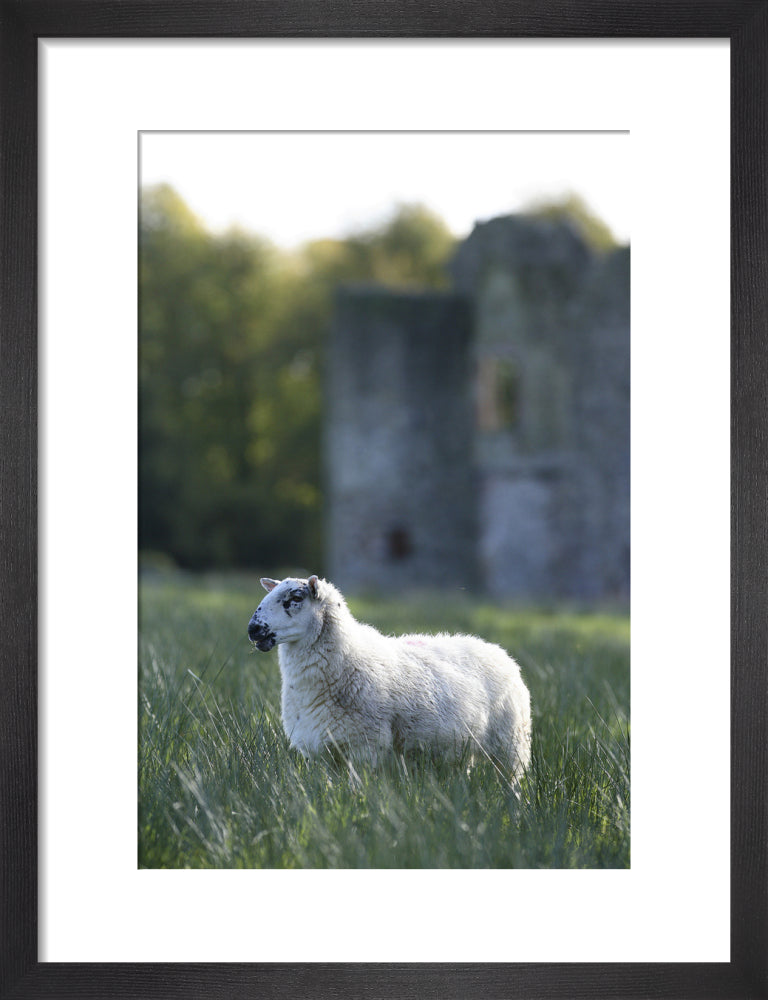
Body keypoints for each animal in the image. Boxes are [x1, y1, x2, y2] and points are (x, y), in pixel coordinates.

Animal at [247, 574, 532, 781]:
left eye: (295, 597)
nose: (253, 629)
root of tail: (499, 651)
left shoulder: (365, 747)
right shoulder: (322, 753)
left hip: (510, 745)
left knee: (512, 785)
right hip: (458, 750)